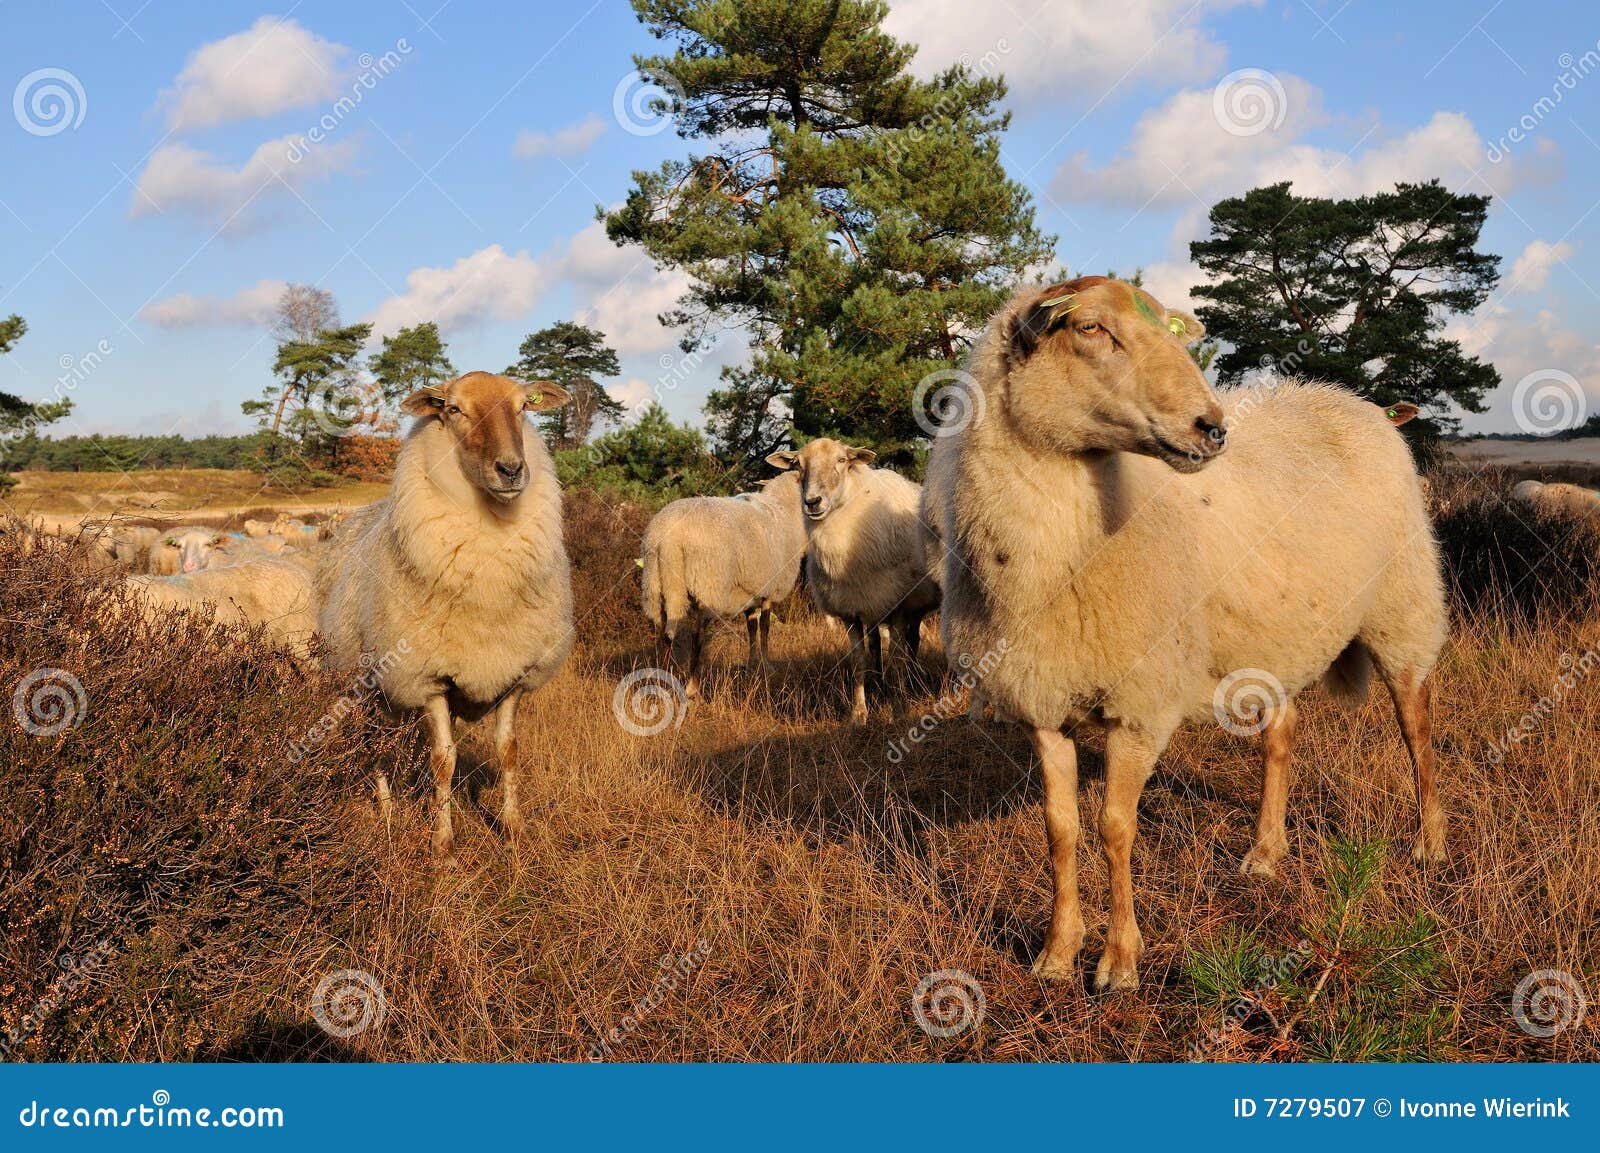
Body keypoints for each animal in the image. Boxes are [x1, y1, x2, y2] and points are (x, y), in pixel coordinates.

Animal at [316, 371, 574, 861]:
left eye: (523, 406)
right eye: (454, 409)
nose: (511, 470)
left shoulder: (514, 671)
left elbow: (508, 750)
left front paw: (514, 829)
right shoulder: (426, 677)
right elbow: (443, 760)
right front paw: (442, 843)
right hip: (364, 683)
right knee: (375, 745)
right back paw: (388, 809)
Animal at [640, 471, 806, 698]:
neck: (785, 509)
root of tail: (668, 538)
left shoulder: (750, 593)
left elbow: (752, 628)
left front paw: (752, 666)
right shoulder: (769, 590)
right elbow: (765, 628)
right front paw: (767, 666)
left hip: (658, 583)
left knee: (665, 632)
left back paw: (663, 680)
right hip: (708, 583)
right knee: (697, 635)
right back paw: (692, 687)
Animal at [767, 439, 941, 724]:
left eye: (841, 460)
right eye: (798, 465)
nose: (812, 502)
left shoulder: (898, 608)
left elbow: (897, 658)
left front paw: (899, 708)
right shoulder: (850, 612)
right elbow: (859, 660)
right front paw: (859, 713)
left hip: (912, 603)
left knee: (913, 642)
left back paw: (913, 680)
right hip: (871, 603)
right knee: (876, 646)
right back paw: (881, 686)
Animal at [924, 276, 1447, 990]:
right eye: (1089, 328)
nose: (1213, 427)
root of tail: (1352, 400)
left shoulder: (1140, 706)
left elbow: (1115, 828)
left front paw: (1118, 962)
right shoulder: (1043, 702)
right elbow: (1061, 831)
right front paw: (1057, 955)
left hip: (1404, 607)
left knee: (1417, 730)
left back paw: (1429, 842)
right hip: (1273, 638)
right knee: (1281, 734)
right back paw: (1264, 853)